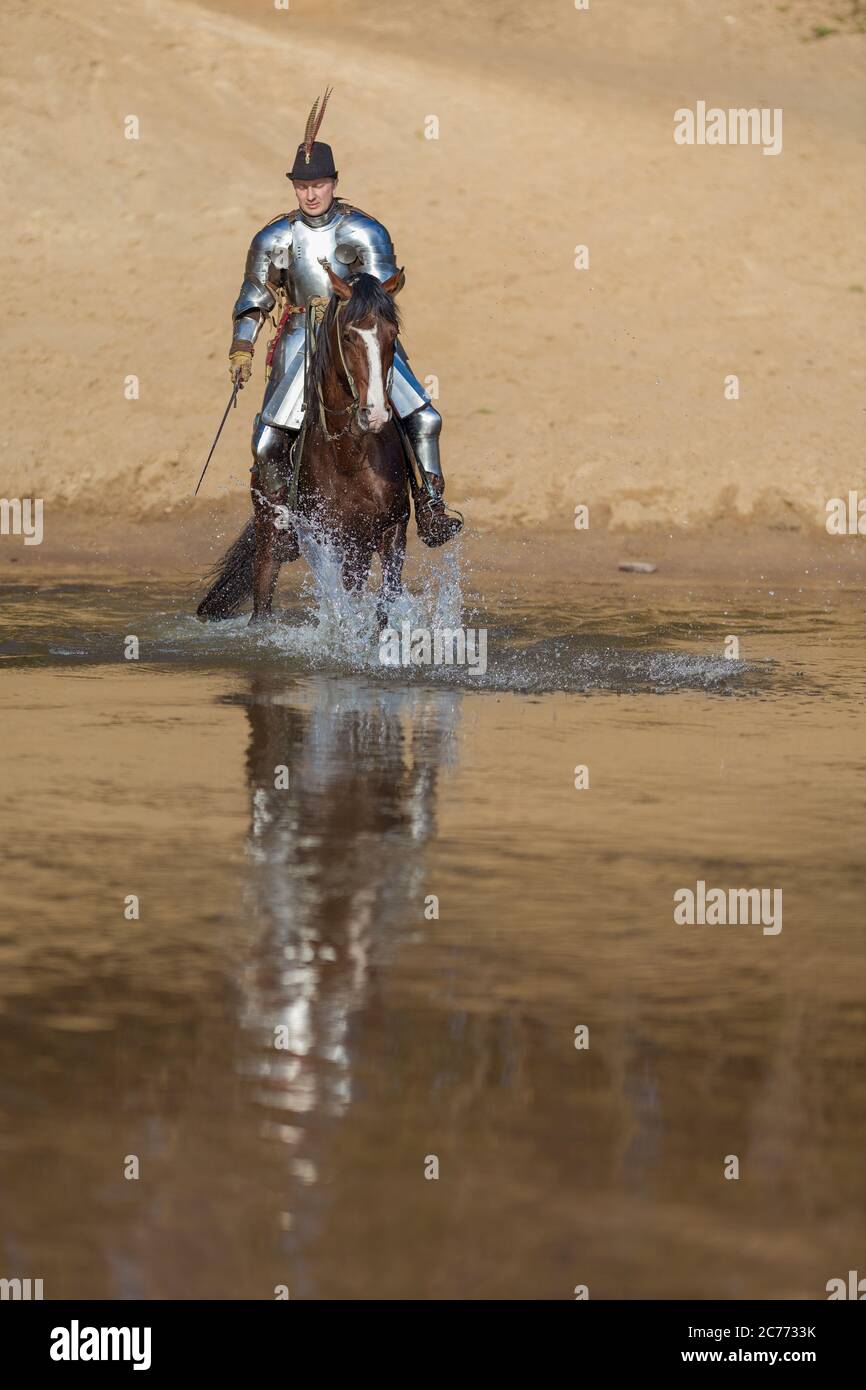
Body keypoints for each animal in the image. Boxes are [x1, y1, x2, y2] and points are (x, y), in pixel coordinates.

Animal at [196, 263, 411, 628]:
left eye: (391, 334)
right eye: (349, 336)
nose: (375, 414)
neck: (349, 456)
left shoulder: (391, 531)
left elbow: (384, 605)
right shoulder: (329, 540)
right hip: (271, 538)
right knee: (263, 598)